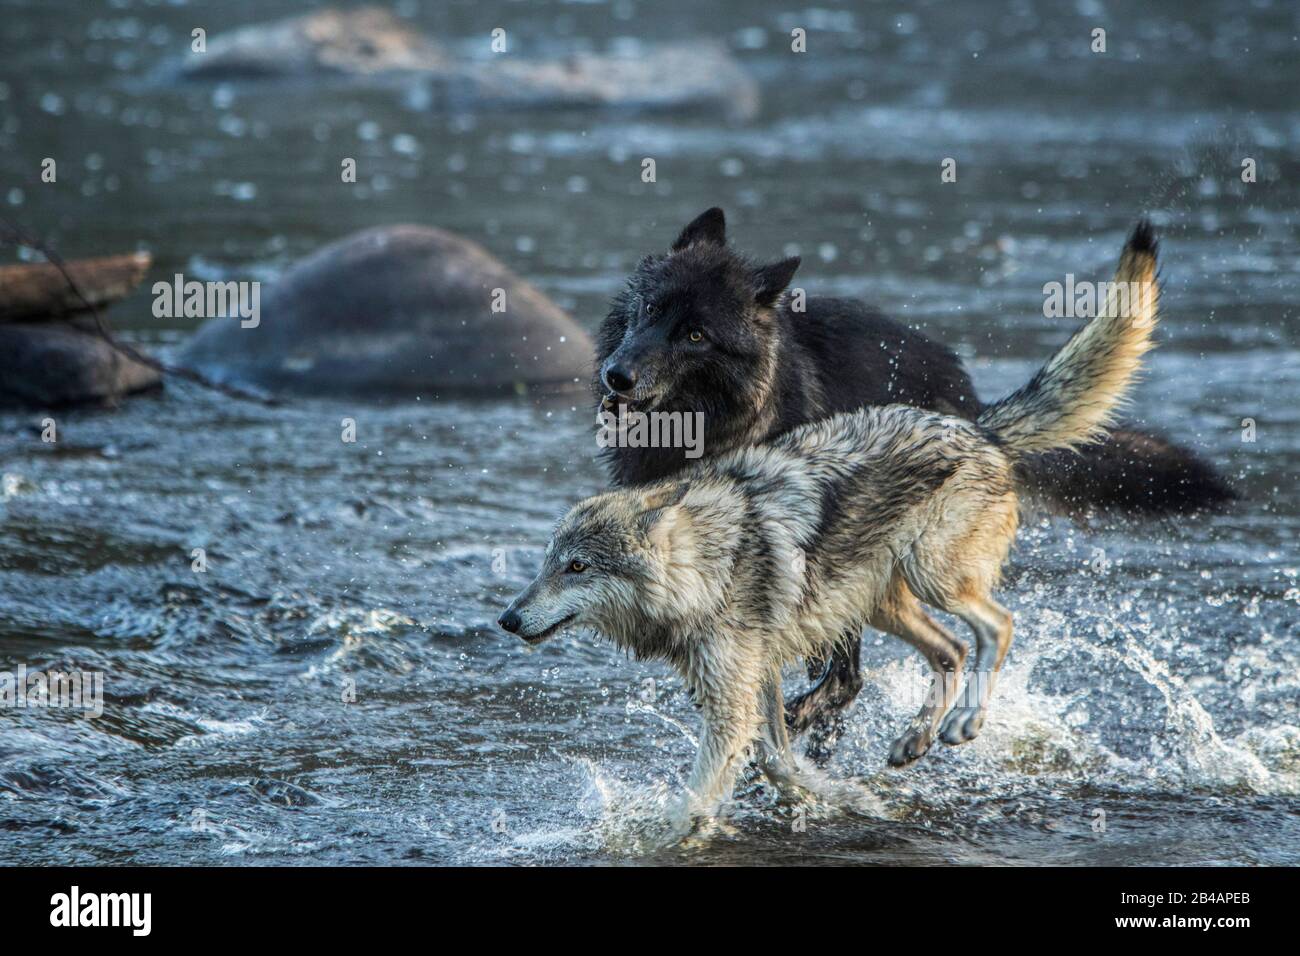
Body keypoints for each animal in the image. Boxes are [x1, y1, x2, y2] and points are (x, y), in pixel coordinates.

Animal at [502, 226, 1161, 818]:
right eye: (546, 565)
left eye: (577, 567)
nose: (507, 619)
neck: (709, 564)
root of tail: (978, 428)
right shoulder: (760, 677)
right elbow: (778, 758)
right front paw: (832, 795)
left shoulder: (737, 696)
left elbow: (701, 798)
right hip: (876, 602)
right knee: (949, 650)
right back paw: (914, 739)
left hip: (930, 578)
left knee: (997, 627)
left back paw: (964, 723)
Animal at [591, 210, 1229, 750]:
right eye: (650, 309)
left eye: (696, 335)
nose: (617, 376)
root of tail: (976, 417)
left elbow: (831, 677)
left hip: (916, 571)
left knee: (946, 644)